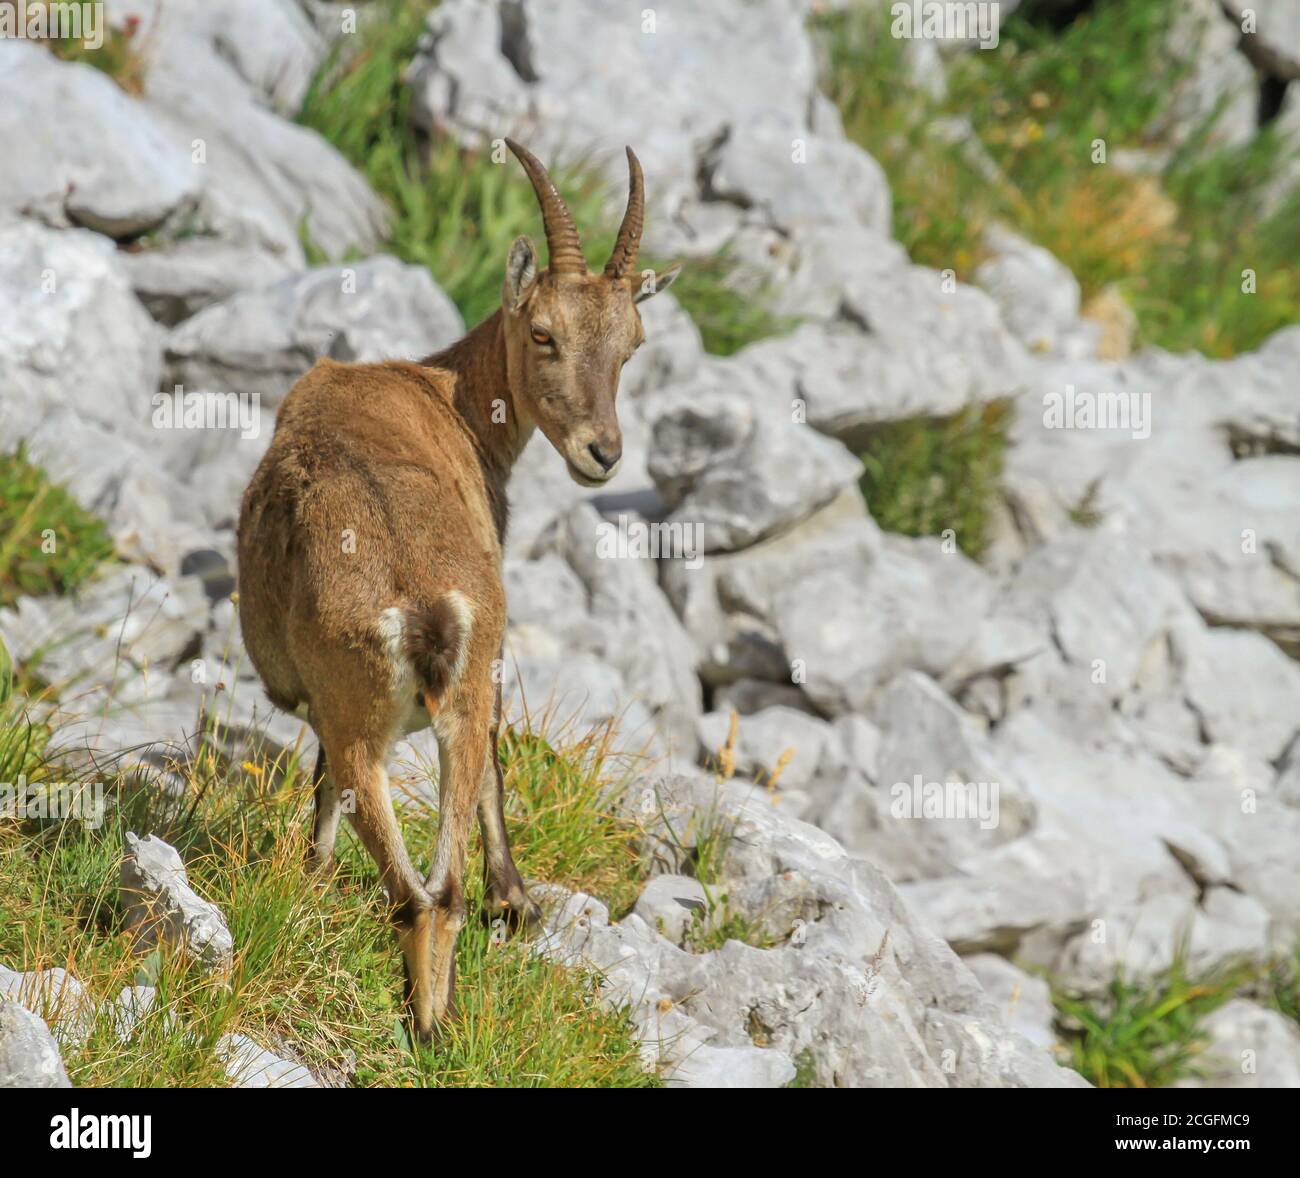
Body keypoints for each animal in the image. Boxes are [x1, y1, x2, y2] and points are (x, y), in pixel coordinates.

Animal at [236, 140, 679, 1041]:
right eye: (544, 333)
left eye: (632, 345)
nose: (603, 452)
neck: (446, 395)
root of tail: (425, 609)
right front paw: (516, 901)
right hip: (434, 703)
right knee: (435, 886)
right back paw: (437, 1024)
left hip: (371, 719)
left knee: (421, 887)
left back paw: (430, 1023)